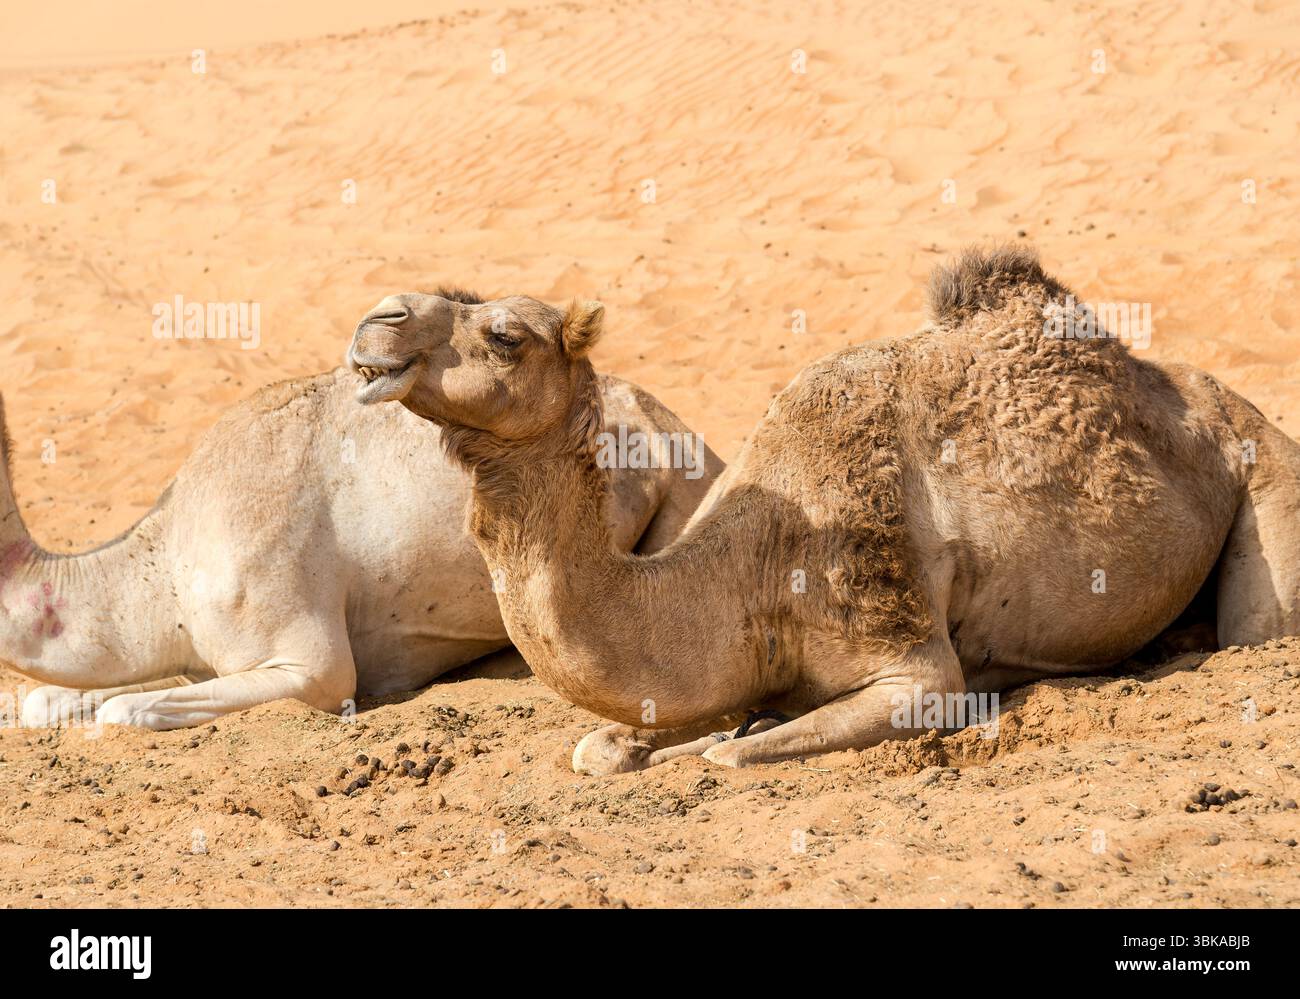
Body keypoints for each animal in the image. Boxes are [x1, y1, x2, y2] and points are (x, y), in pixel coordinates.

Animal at [0, 288, 721, 731]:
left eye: (506, 335)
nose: (385, 315)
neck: (162, 563)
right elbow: (47, 700)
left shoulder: (308, 663)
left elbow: (125, 712)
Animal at [348, 247, 1300, 772]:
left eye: (506, 335)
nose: (376, 318)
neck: (755, 564)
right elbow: (609, 746)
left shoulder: (916, 666)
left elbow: (732, 751)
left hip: (1264, 464)